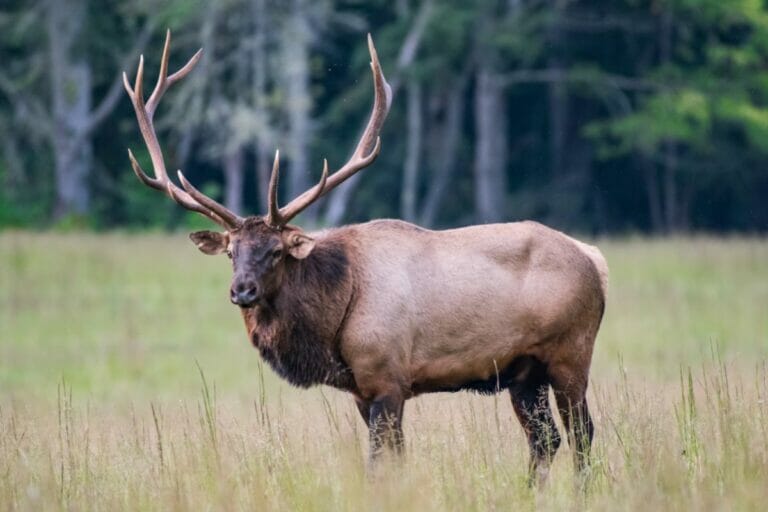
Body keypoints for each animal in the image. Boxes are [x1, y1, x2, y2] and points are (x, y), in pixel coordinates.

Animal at [123, 30, 608, 485]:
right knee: (545, 439)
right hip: (524, 373)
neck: (333, 317)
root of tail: (595, 259)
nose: (242, 291)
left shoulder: (388, 378)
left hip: (571, 353)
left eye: (276, 251)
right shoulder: (362, 390)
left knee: (582, 435)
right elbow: (395, 459)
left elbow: (379, 463)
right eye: (230, 251)